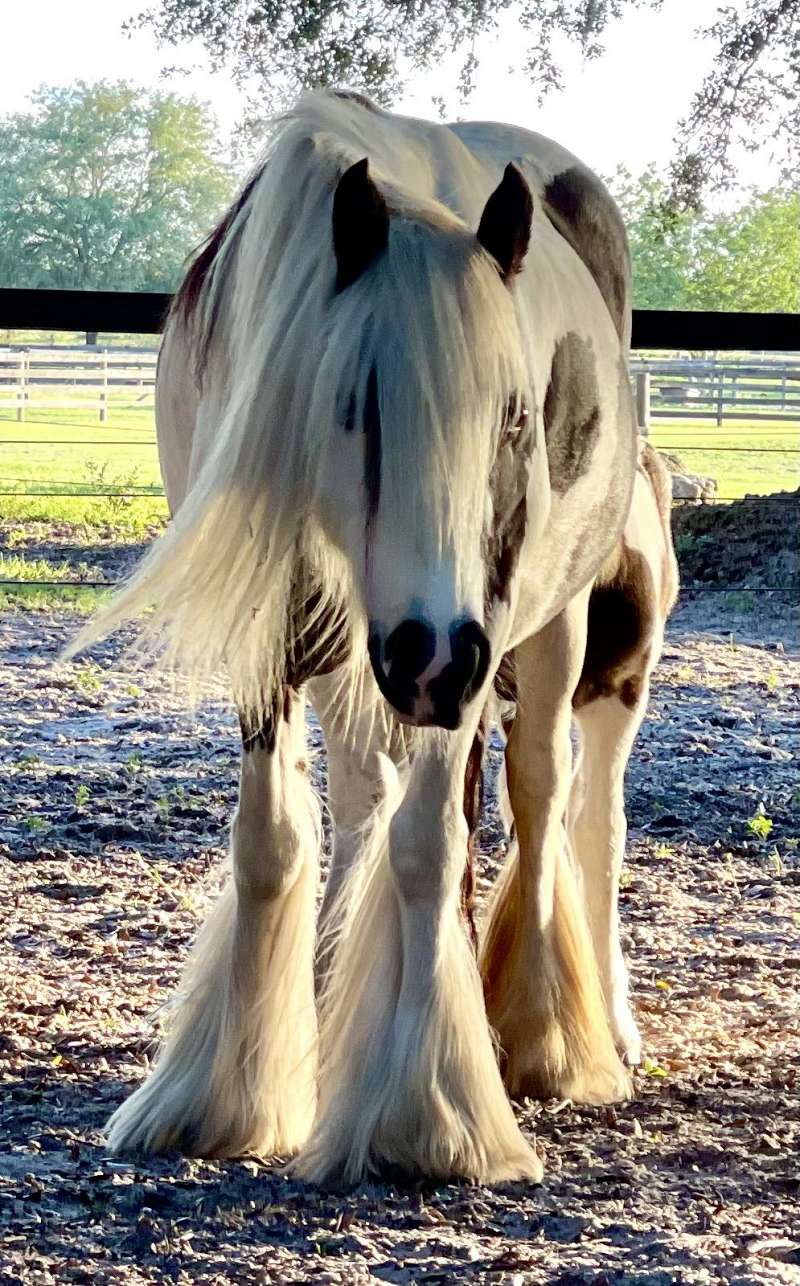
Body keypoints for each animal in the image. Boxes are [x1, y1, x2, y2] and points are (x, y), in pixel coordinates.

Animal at [68, 89, 674, 1185]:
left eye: (514, 418)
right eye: (355, 404)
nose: (432, 654)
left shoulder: (471, 651)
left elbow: (432, 844)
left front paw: (423, 1115)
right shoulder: (273, 637)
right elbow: (272, 840)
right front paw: (223, 1096)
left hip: (557, 638)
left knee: (552, 798)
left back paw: (551, 1035)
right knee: (365, 805)